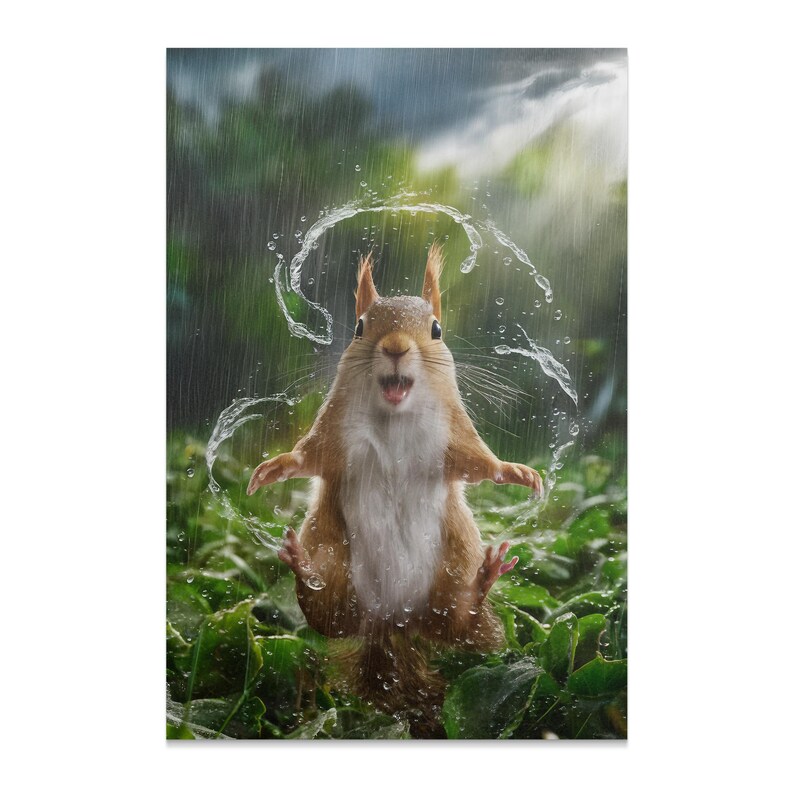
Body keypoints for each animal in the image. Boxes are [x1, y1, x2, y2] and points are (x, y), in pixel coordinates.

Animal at [247, 243, 542, 717]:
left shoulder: (454, 434)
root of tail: (392, 619)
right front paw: (276, 466)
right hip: (338, 562)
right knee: (325, 616)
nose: (397, 347)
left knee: (458, 625)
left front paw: (516, 471)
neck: (393, 417)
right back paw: (301, 564)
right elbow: (308, 455)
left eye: (437, 329)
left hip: (450, 571)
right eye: (360, 327)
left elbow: (481, 463)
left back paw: (484, 579)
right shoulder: (334, 429)